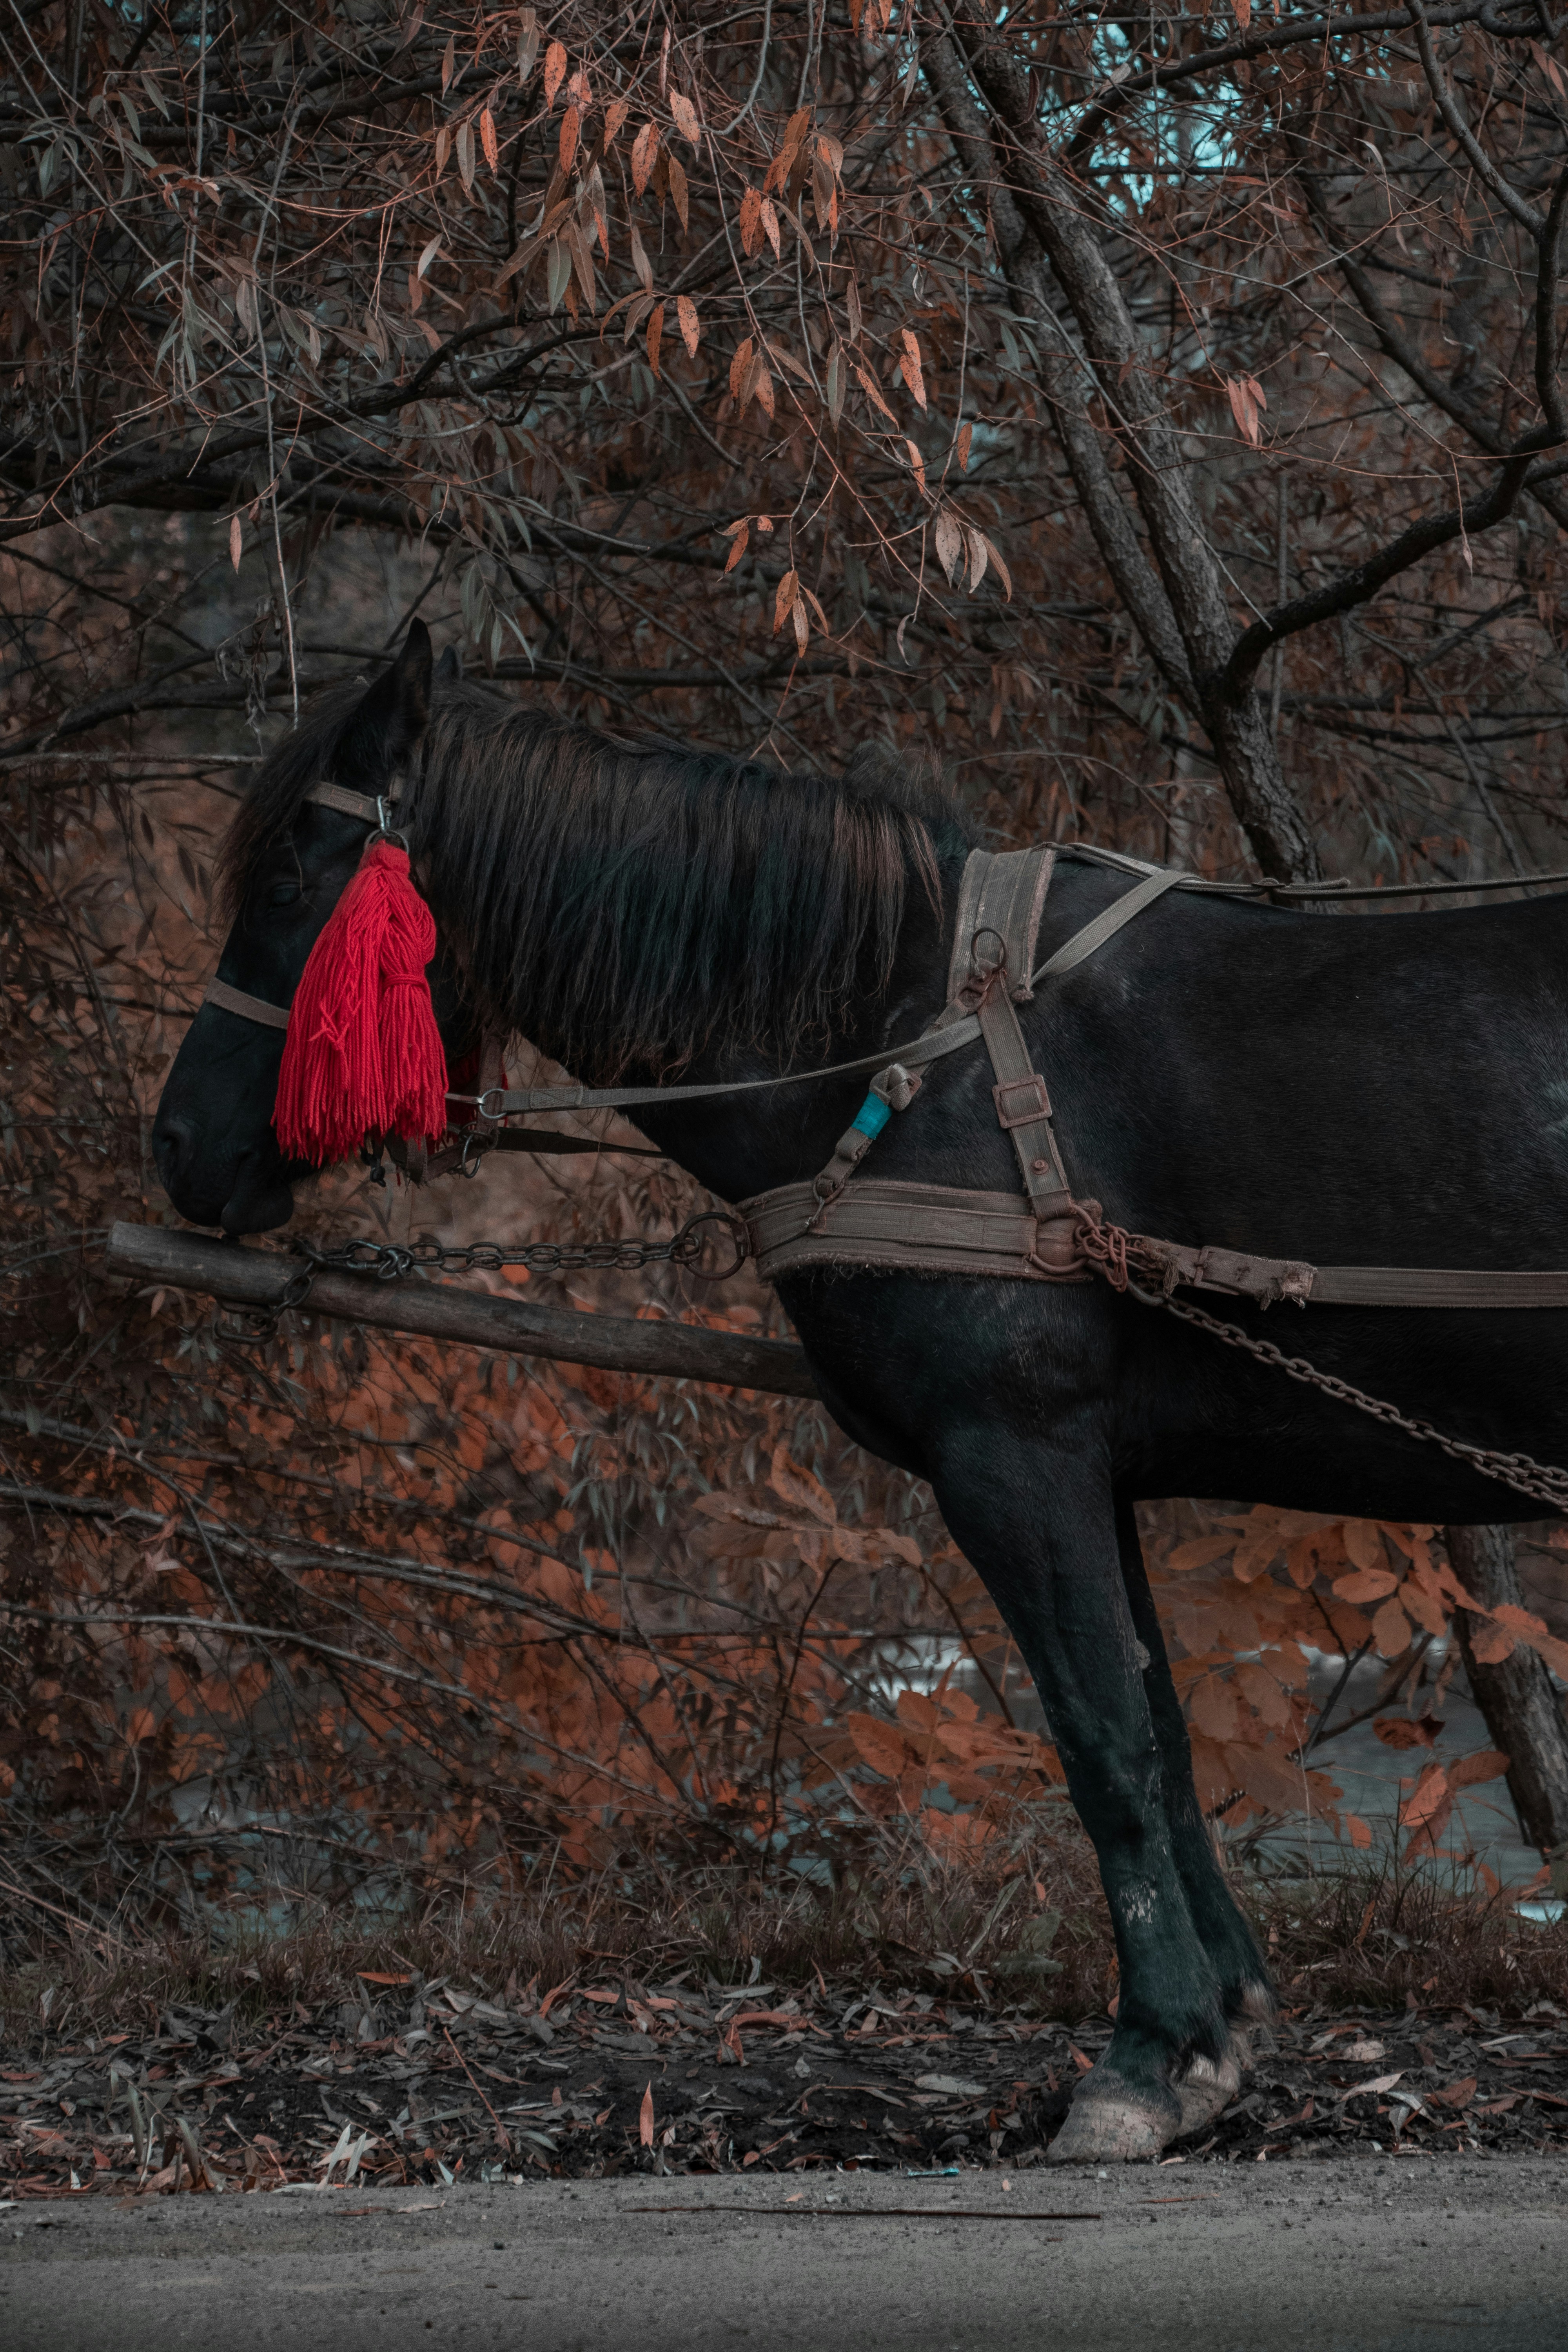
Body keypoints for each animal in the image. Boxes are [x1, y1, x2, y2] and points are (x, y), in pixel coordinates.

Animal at [153, 622, 1568, 2163]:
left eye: (287, 882)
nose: (176, 1143)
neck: (903, 1050)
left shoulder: (1013, 1454)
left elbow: (1102, 1741)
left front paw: (1145, 2058)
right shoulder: (1094, 1469)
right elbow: (1162, 1730)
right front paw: (1220, 2032)